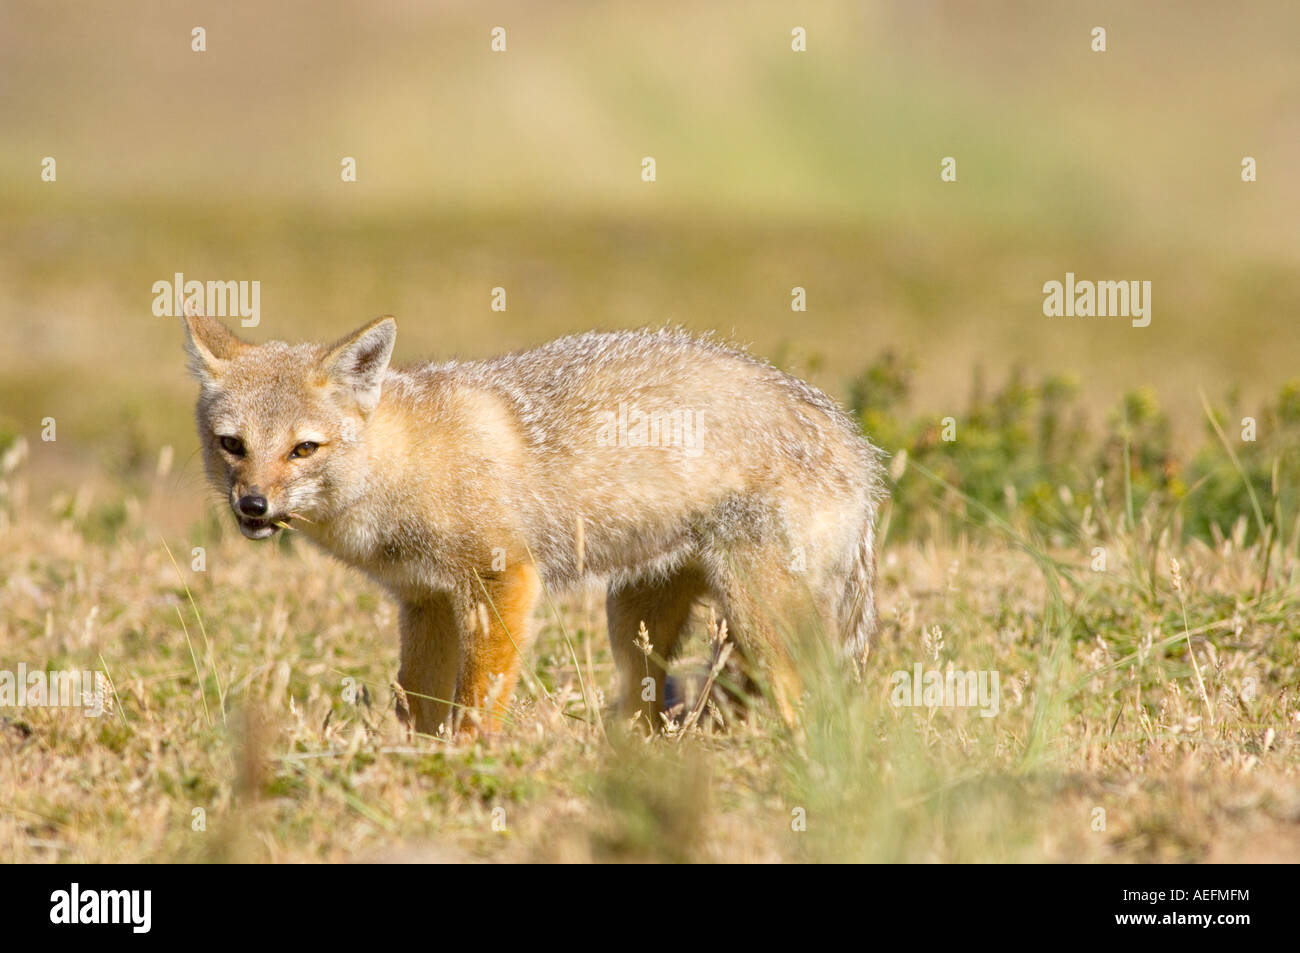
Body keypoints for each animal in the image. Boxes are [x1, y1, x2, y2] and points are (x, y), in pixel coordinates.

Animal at [181, 312, 886, 736]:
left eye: (303, 449)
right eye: (232, 445)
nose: (253, 507)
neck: (401, 464)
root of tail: (857, 446)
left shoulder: (503, 579)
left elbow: (478, 696)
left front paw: (465, 760)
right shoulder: (425, 600)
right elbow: (418, 700)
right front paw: (413, 762)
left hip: (756, 618)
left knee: (811, 697)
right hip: (632, 621)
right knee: (646, 707)